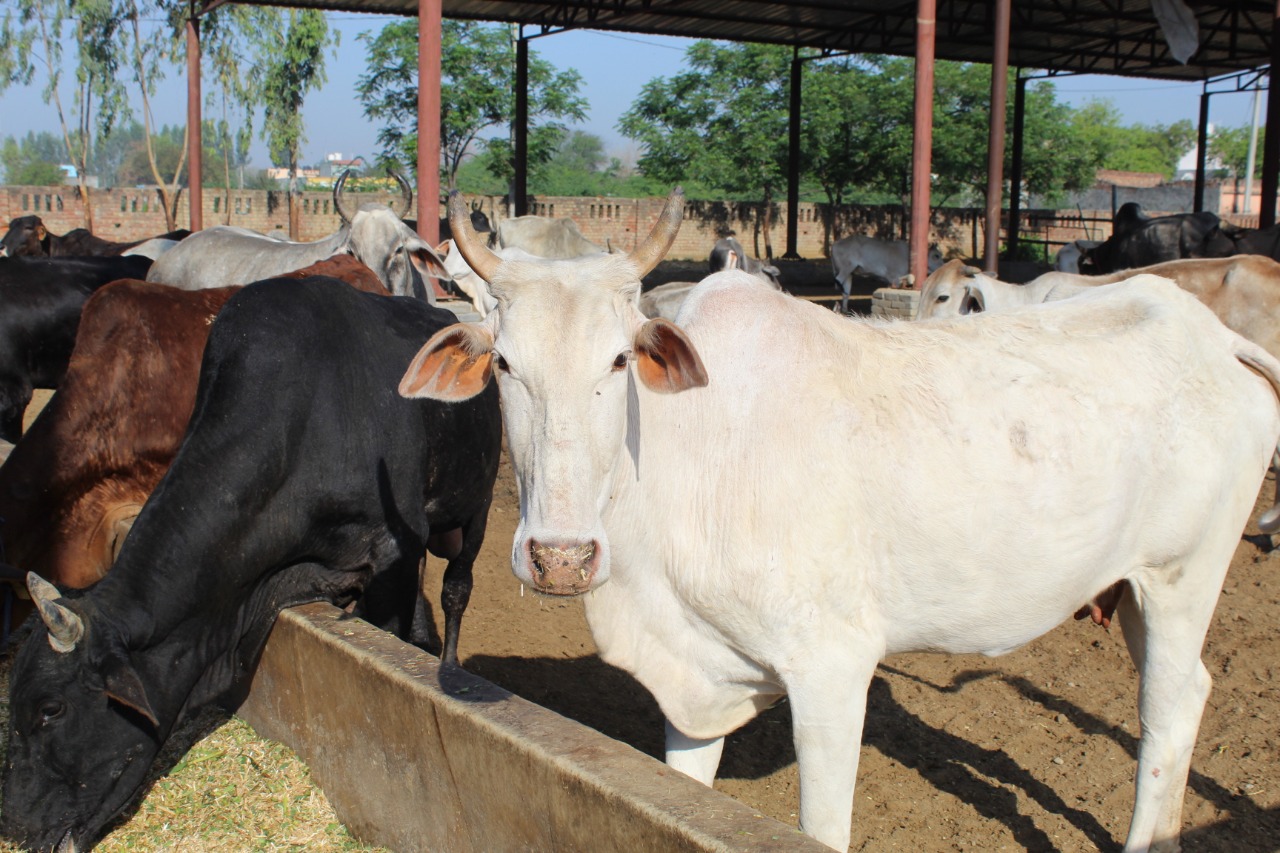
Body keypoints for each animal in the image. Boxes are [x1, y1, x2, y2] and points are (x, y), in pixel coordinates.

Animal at [400, 188, 1280, 852]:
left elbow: (821, 826)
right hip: (1131, 588)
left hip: (1181, 578)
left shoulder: (832, 667)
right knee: (1185, 693)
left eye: (619, 359)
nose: (561, 556)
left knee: (1166, 710)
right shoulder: (694, 672)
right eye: (504, 361)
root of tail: (1212, 336)